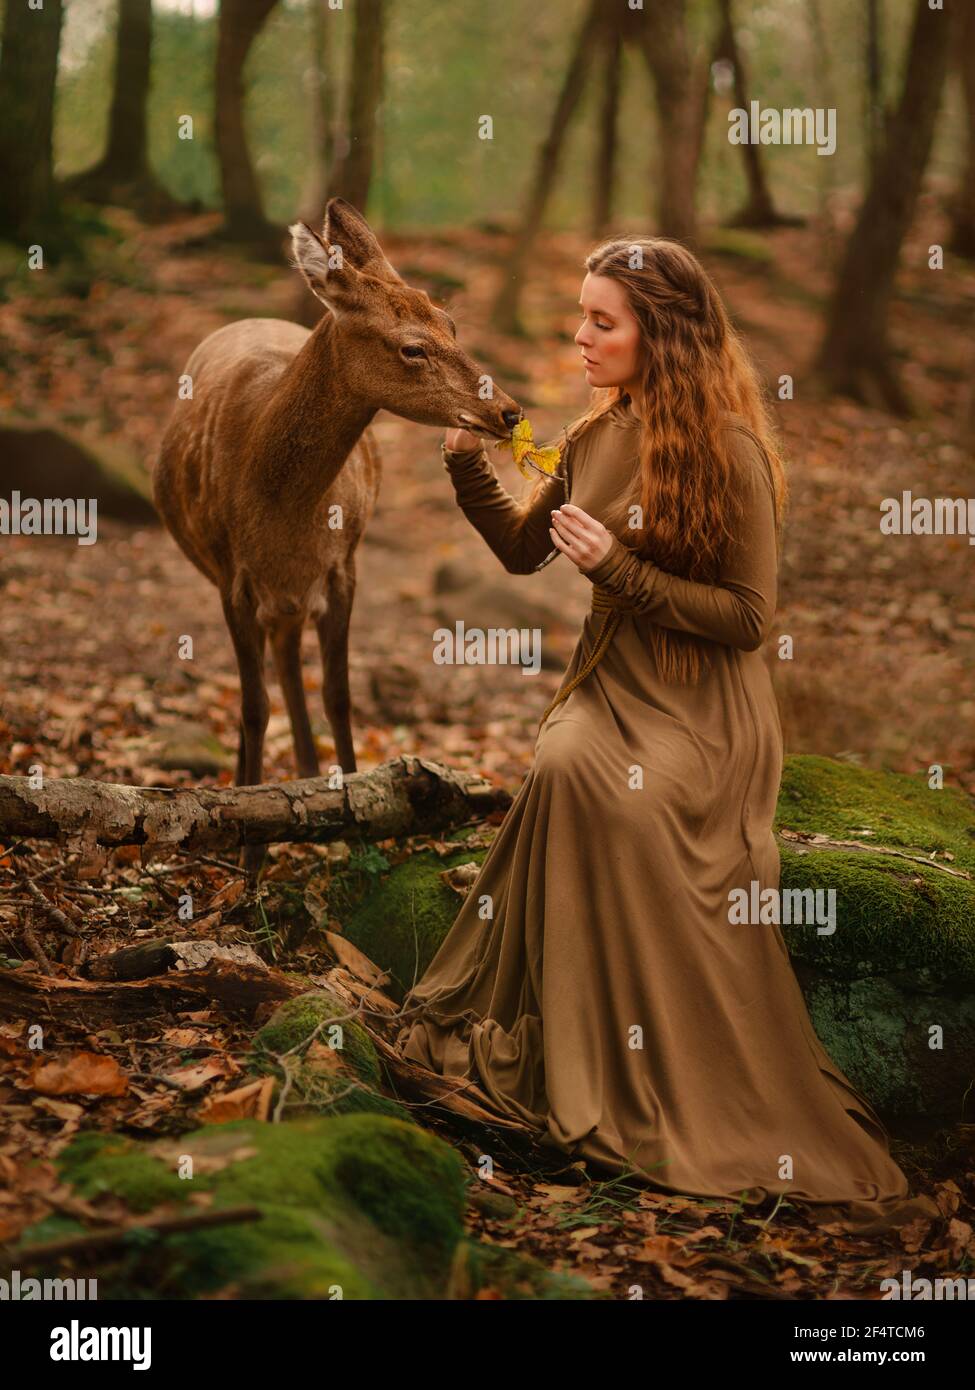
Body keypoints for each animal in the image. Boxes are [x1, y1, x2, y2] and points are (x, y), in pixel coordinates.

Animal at [152, 197, 522, 833]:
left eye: (450, 323)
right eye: (412, 347)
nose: (508, 411)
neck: (279, 506)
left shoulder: (343, 563)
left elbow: (339, 694)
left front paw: (355, 817)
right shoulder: (231, 574)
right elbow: (254, 707)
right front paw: (248, 838)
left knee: (287, 658)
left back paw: (305, 773)